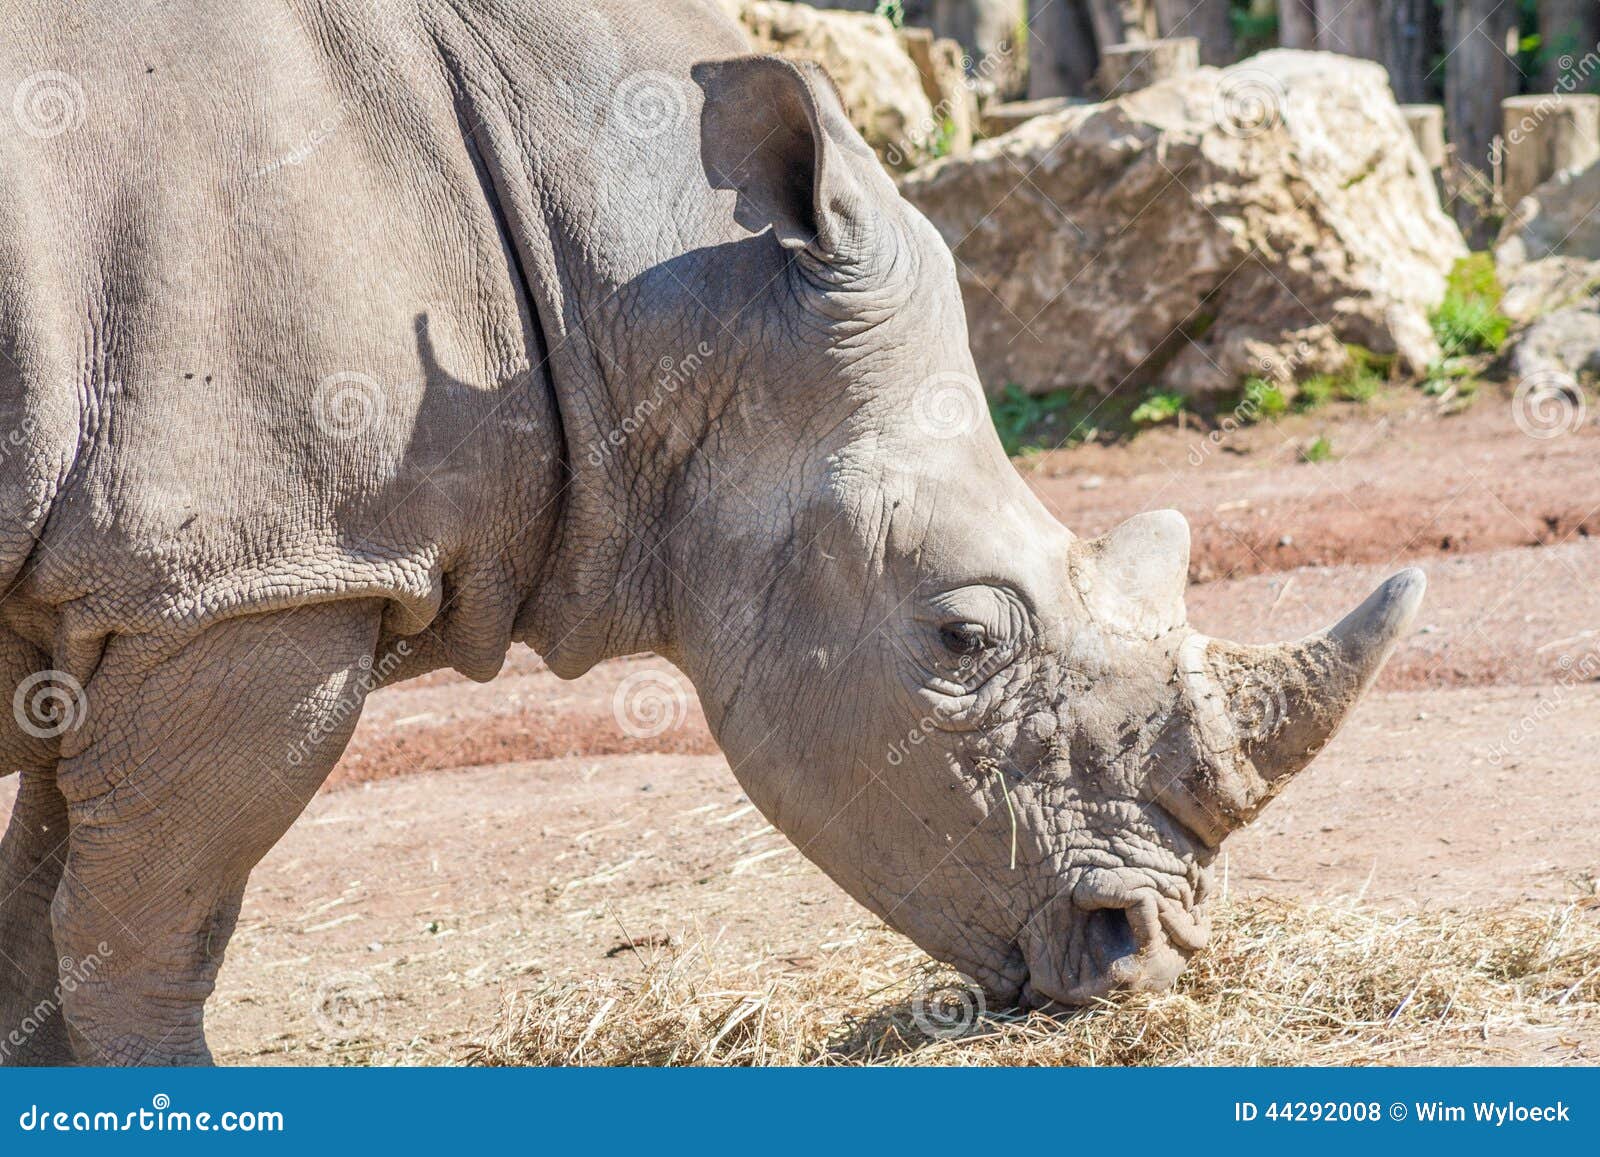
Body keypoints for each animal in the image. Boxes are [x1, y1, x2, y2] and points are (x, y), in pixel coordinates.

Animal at [0, 0, 1423, 1065]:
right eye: (962, 635)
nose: (1148, 951)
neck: (641, 285)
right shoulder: (246, 581)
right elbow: (148, 930)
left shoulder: (139, 592)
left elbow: (48, 922)